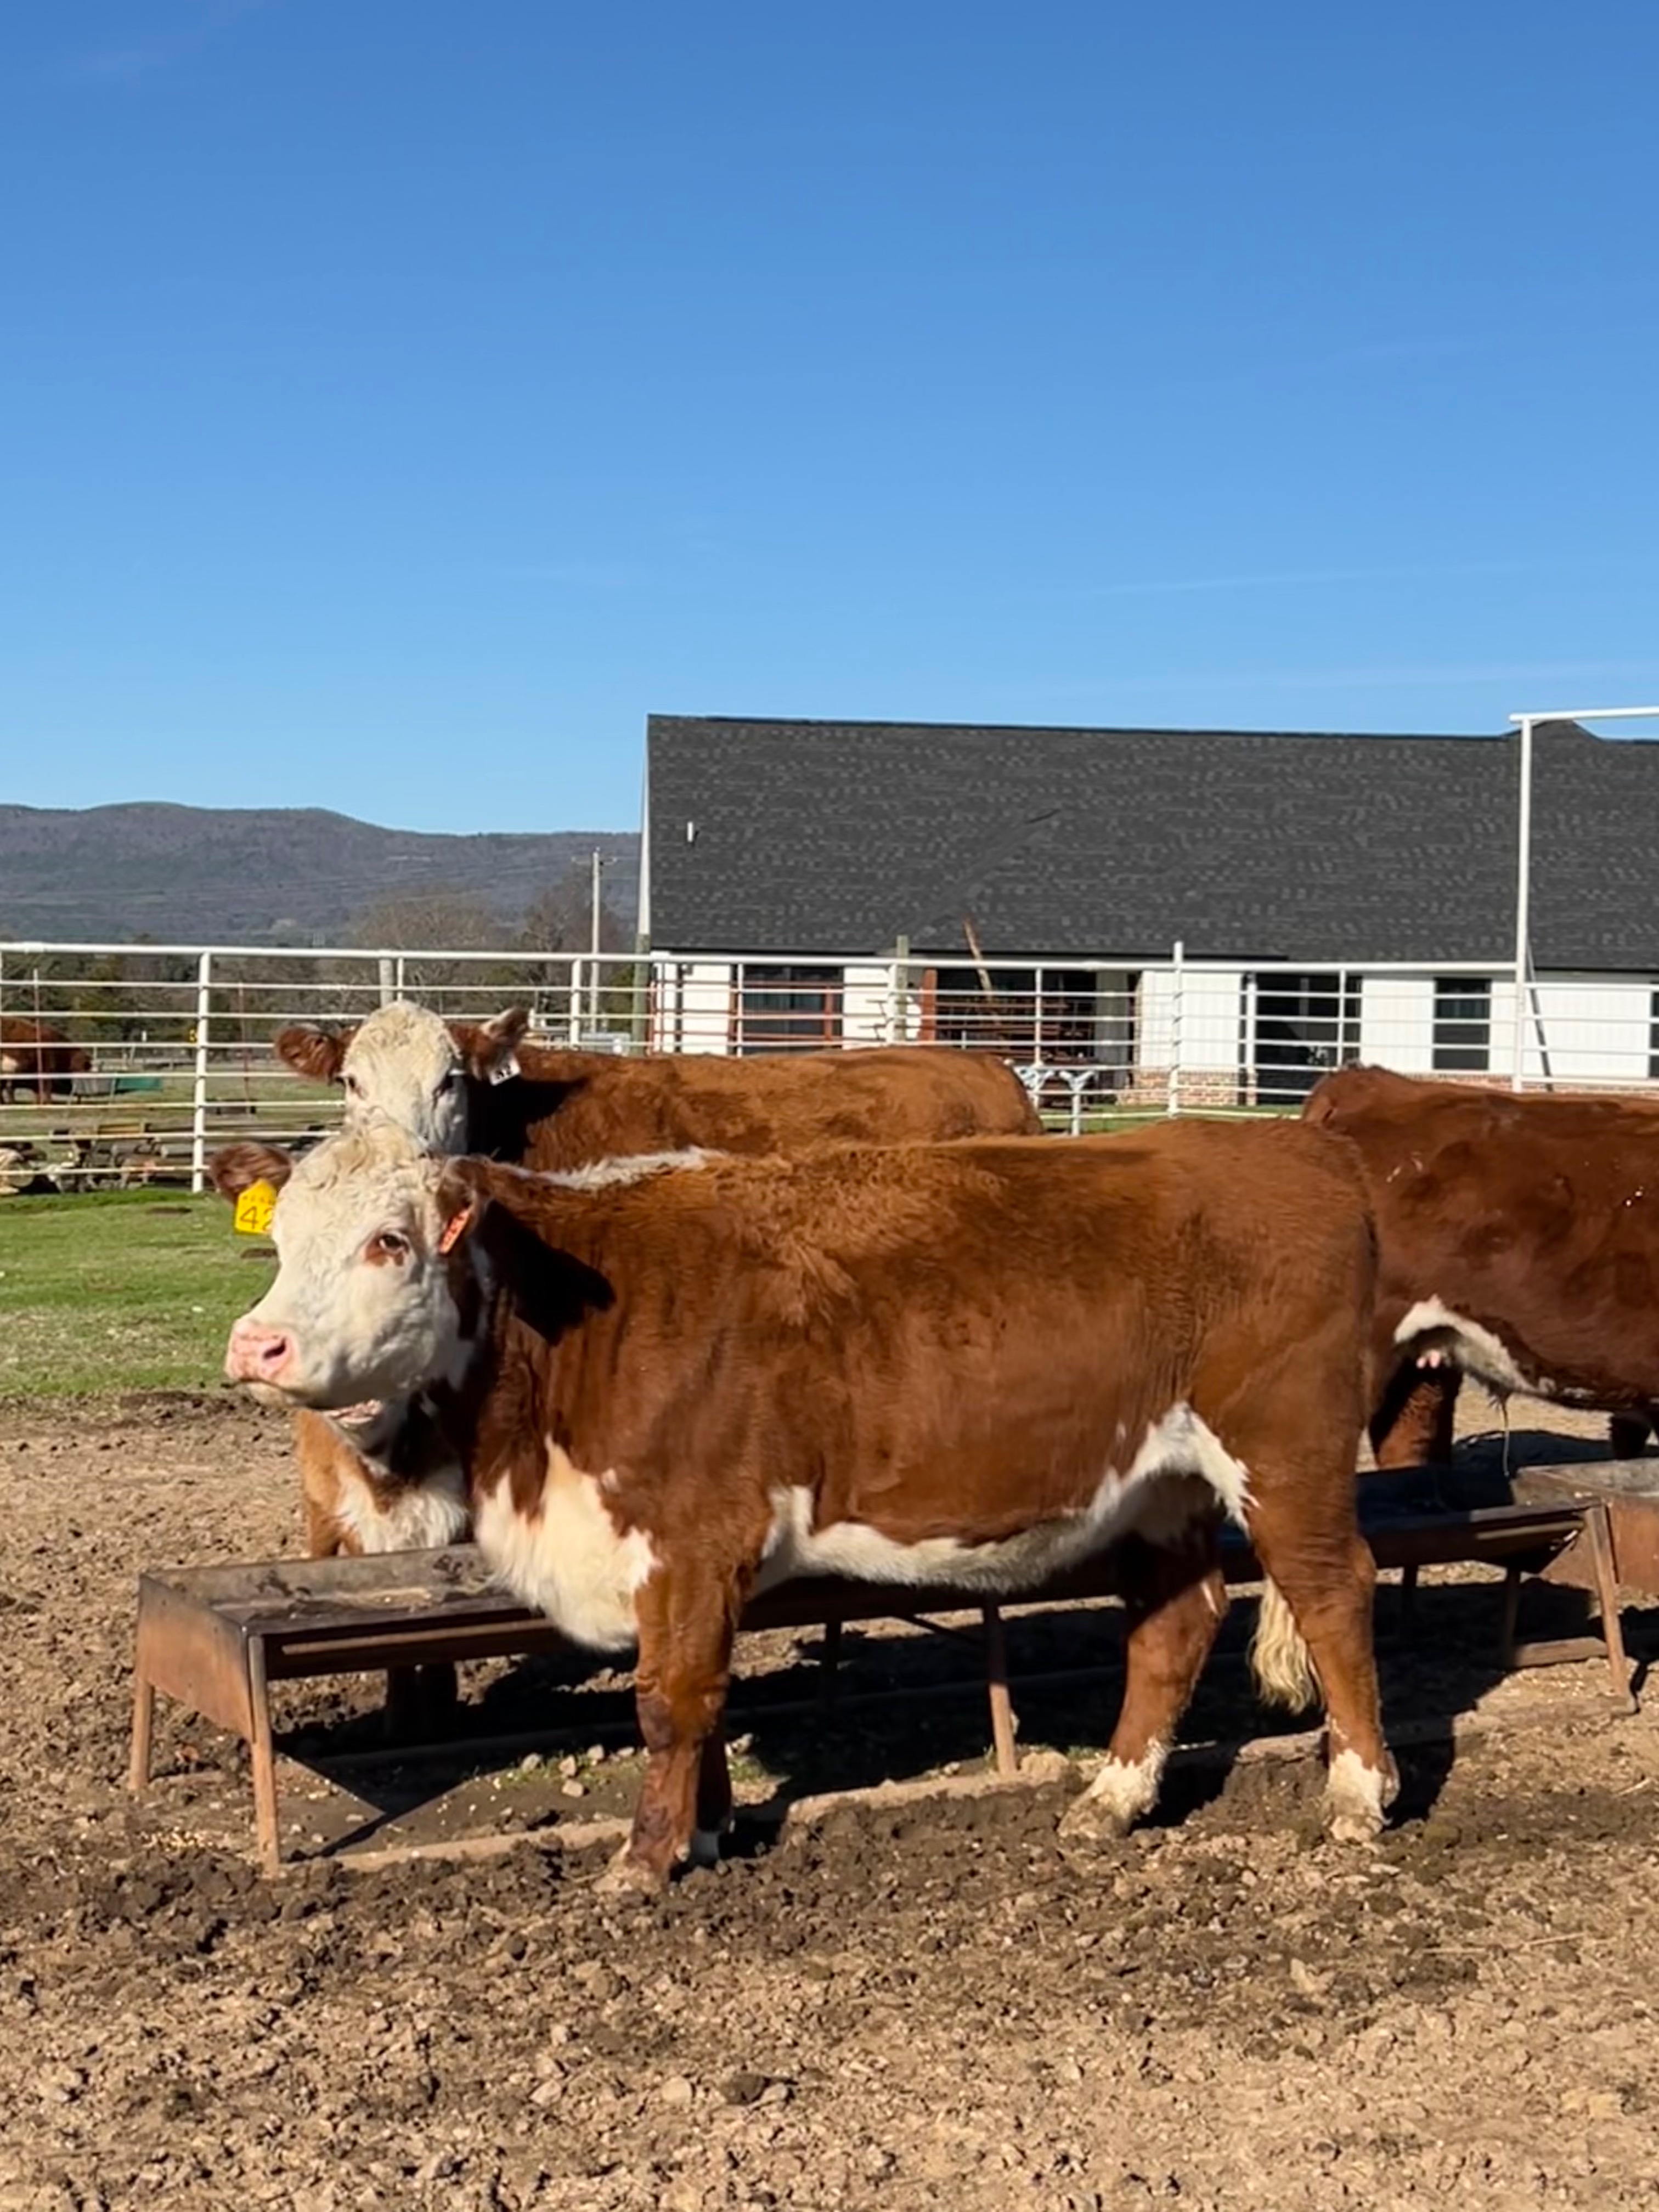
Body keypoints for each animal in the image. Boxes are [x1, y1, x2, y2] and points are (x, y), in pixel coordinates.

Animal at [0, 1017, 90, 1105]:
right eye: (84, 1068)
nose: (84, 1093)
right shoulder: (47, 1069)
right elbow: (47, 1087)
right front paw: (48, 1103)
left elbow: (38, 1090)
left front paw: (38, 1103)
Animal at [219, 1112, 1399, 1892]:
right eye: (278, 1242)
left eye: (389, 1240)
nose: (256, 1344)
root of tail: (1295, 1148)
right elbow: (706, 1701)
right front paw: (703, 1836)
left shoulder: (693, 1535)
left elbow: (669, 1699)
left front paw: (643, 1863)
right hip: (1161, 1482)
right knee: (1174, 1625)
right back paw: (1111, 1800)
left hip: (1284, 1452)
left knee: (1332, 1594)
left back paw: (1356, 1797)